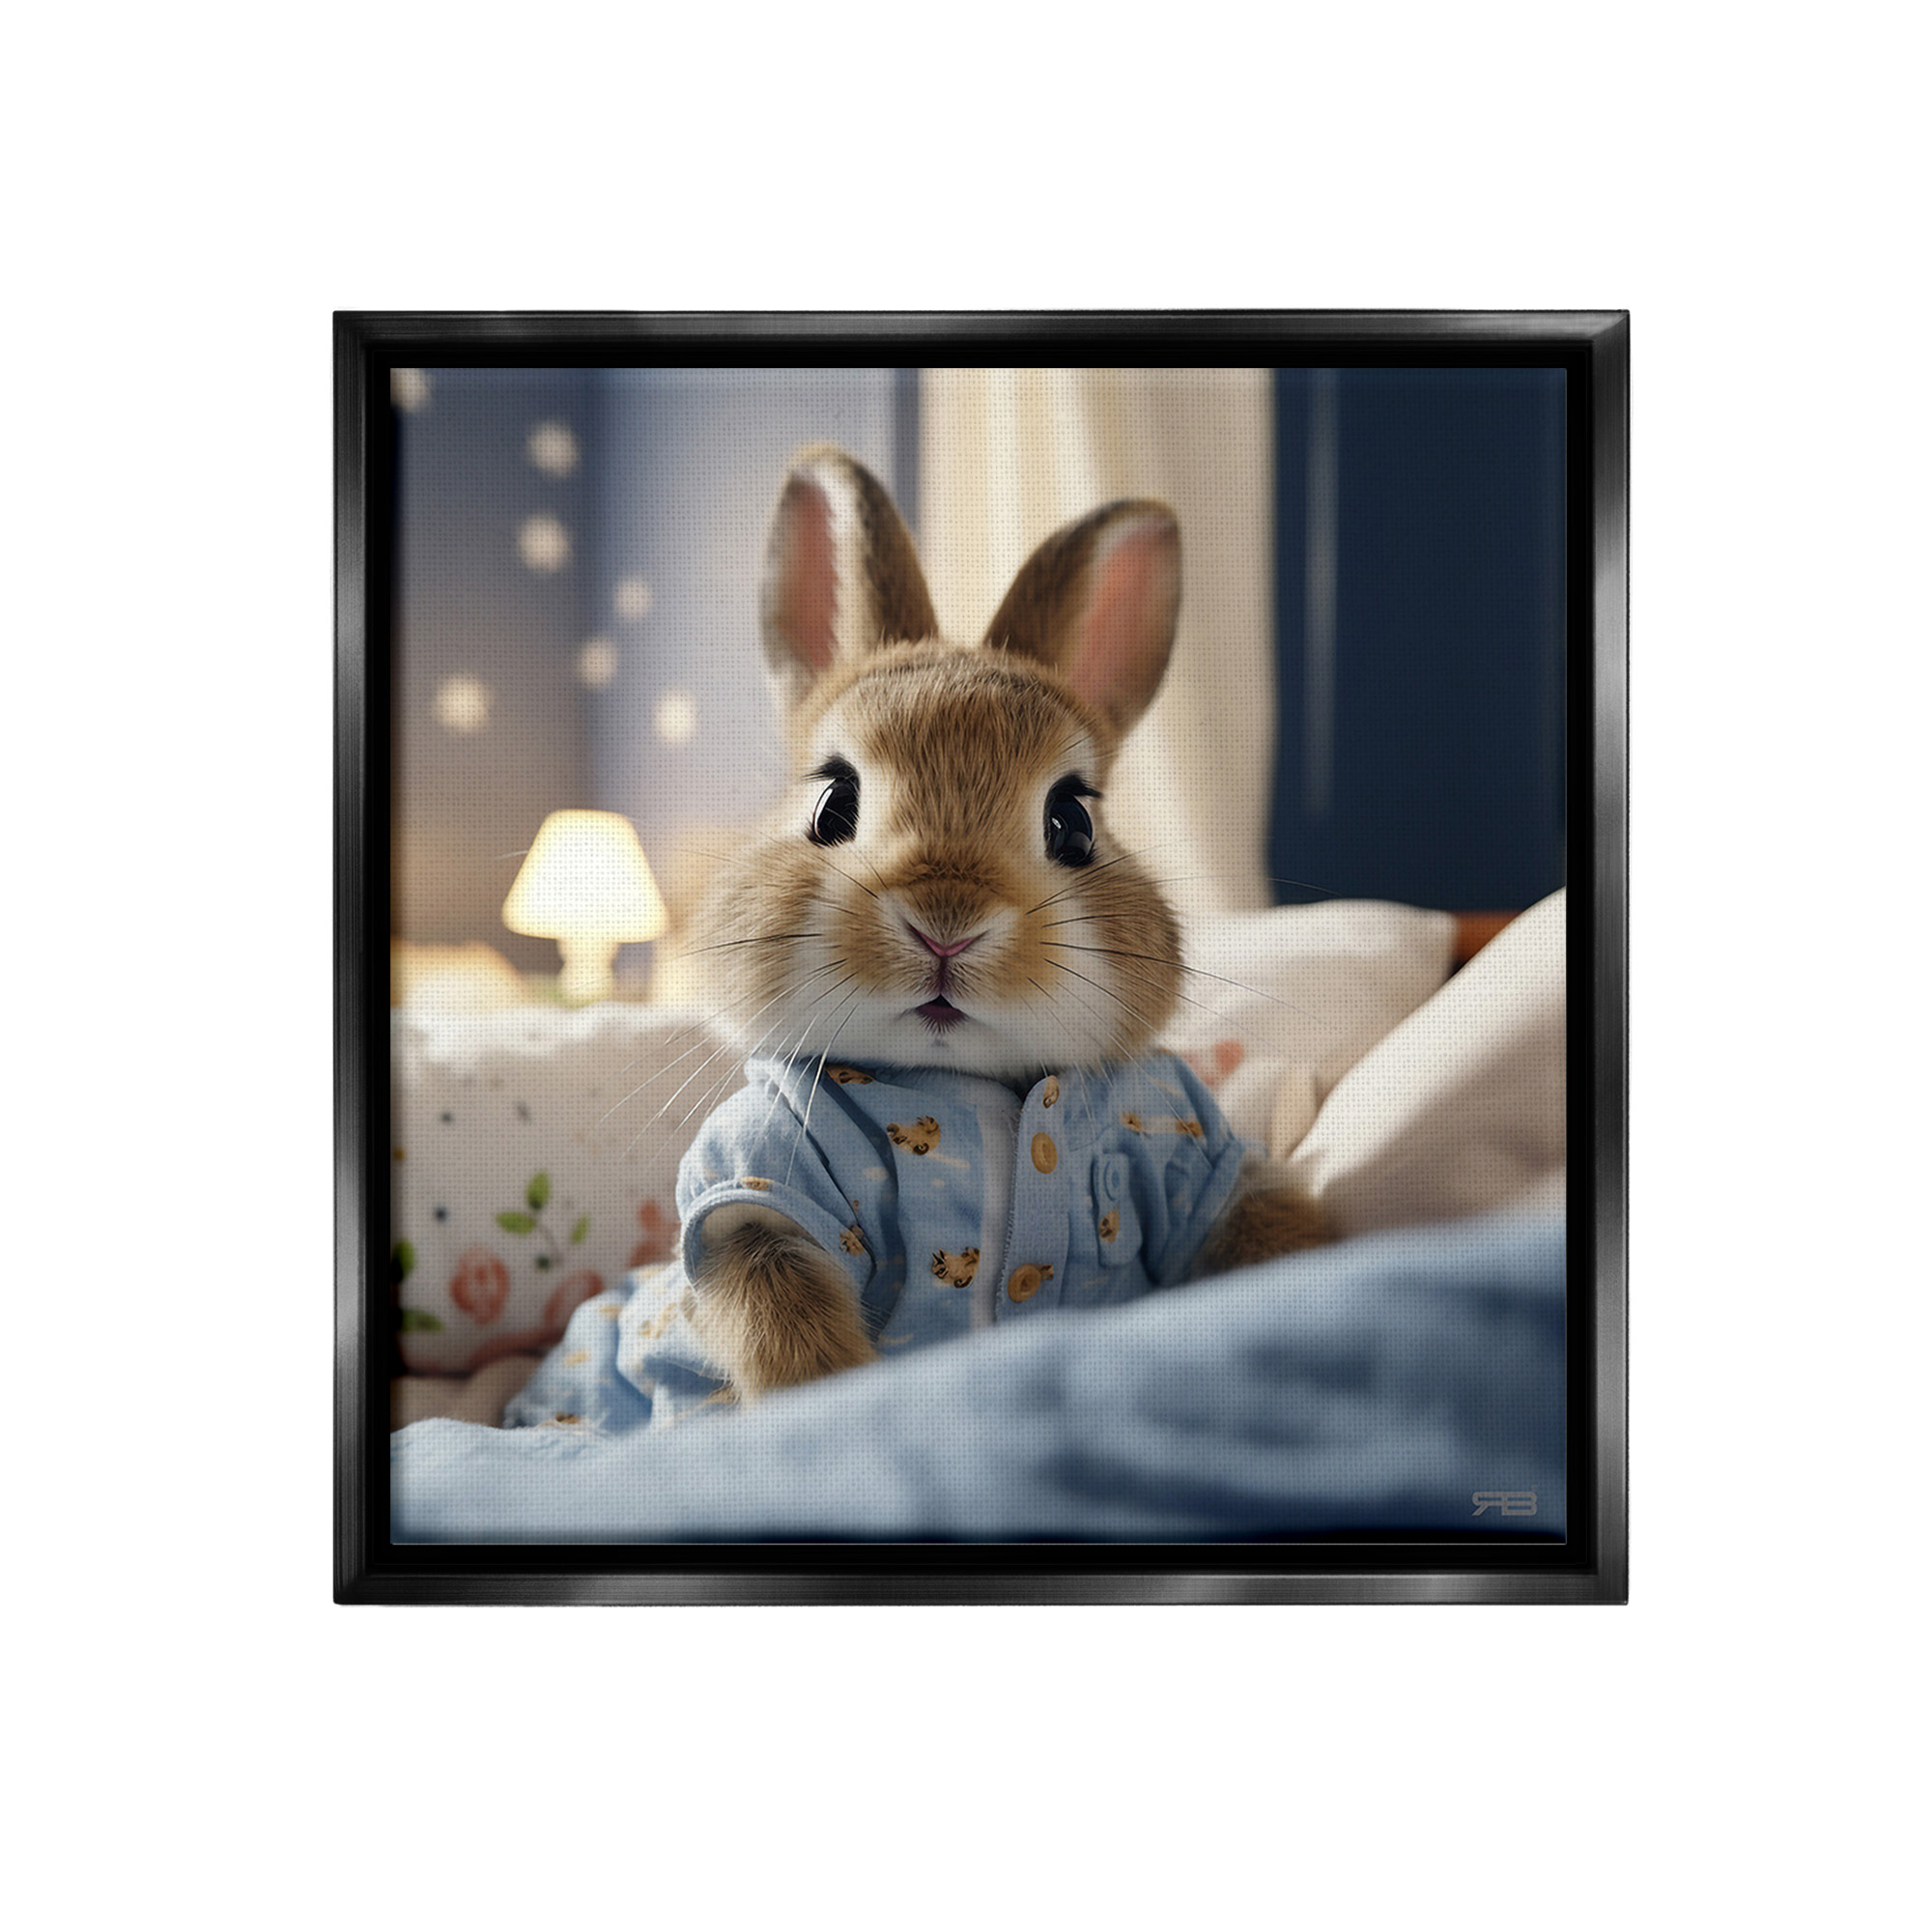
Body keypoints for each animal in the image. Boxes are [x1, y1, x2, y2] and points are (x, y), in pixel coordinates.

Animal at [667, 445, 1326, 1401]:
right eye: (832, 804)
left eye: (1073, 822)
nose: (947, 924)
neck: (971, 1084)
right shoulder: (760, 1183)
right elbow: (778, 1307)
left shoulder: (1195, 1151)